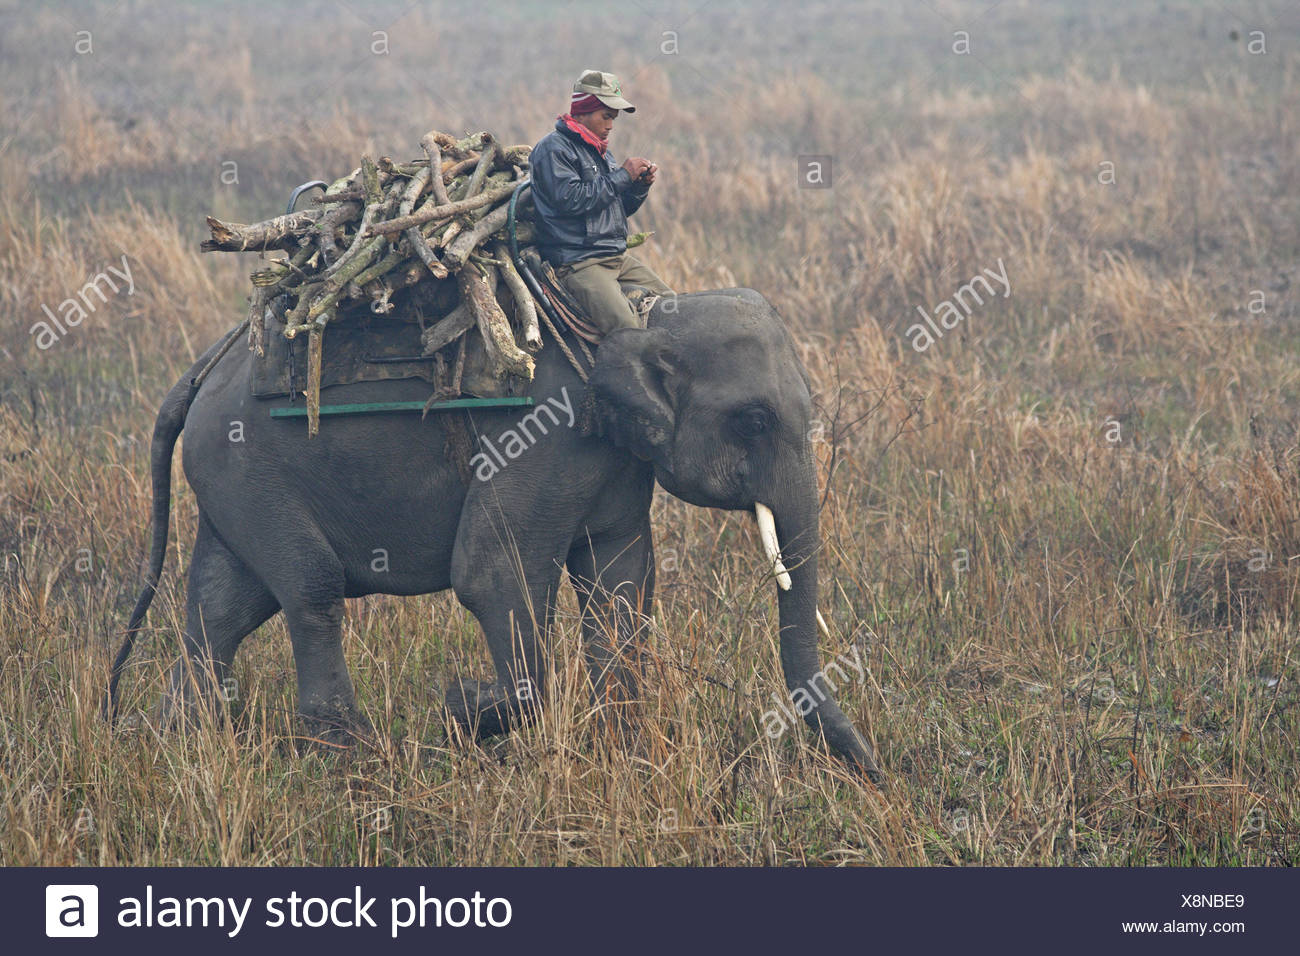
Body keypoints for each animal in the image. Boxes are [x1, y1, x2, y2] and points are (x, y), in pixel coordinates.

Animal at [106, 287, 882, 782]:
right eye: (754, 420)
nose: (879, 772)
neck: (632, 319)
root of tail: (202, 368)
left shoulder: (616, 459)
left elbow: (621, 582)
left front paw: (622, 752)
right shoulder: (543, 437)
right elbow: (493, 575)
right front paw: (461, 713)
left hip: (234, 483)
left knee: (222, 604)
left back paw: (166, 743)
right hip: (252, 468)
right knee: (310, 591)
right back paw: (347, 757)